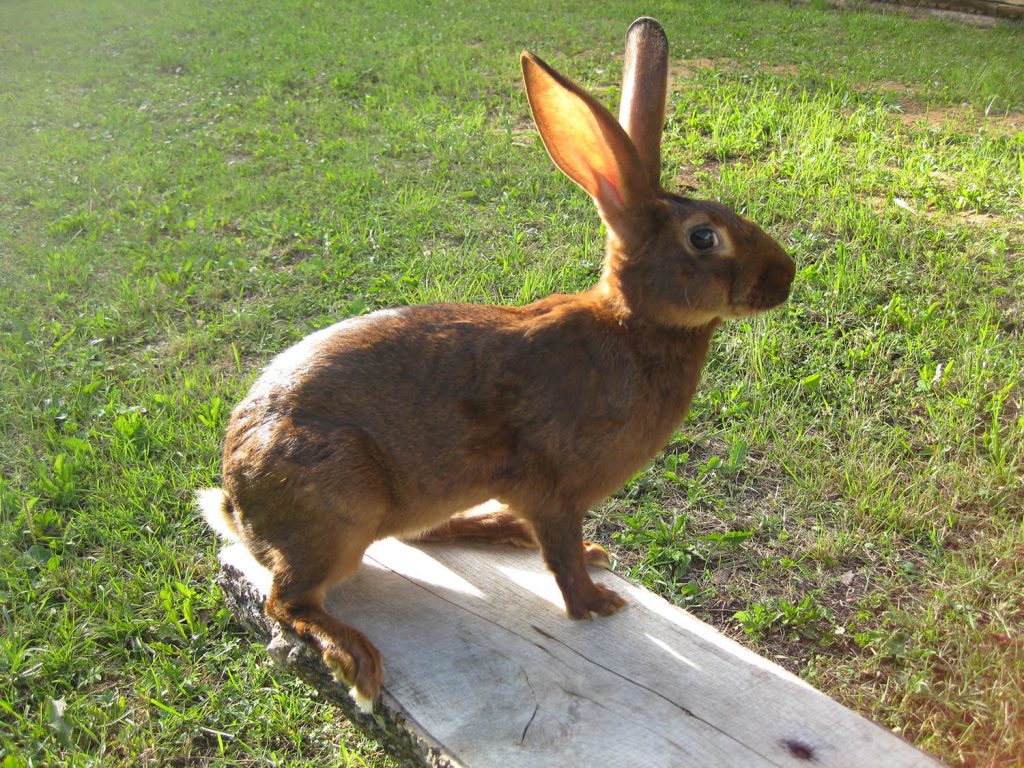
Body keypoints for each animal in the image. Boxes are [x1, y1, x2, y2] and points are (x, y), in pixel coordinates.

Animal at [198, 16, 795, 714]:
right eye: (704, 238)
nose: (785, 278)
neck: (632, 324)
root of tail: (236, 504)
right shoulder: (556, 490)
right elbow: (562, 556)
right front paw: (596, 603)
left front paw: (591, 566)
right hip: (338, 511)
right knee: (286, 601)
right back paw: (357, 658)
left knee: (413, 538)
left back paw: (498, 529)